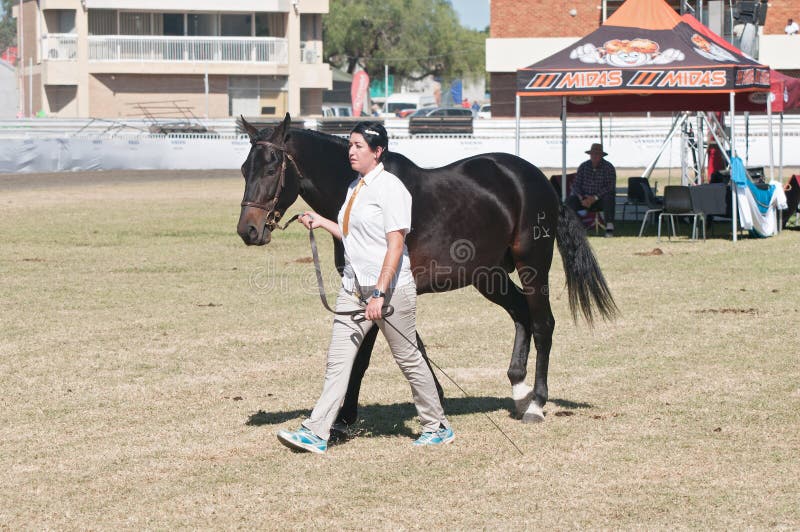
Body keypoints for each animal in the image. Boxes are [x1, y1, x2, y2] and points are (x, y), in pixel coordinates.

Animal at [236, 113, 617, 424]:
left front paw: (344, 421)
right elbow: (412, 344)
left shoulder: (379, 289)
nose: (248, 230)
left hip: (532, 264)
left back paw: (536, 403)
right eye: (243, 170)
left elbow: (365, 357)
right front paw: (435, 397)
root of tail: (540, 181)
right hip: (488, 274)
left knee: (542, 323)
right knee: (521, 312)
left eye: (270, 169)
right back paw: (519, 390)